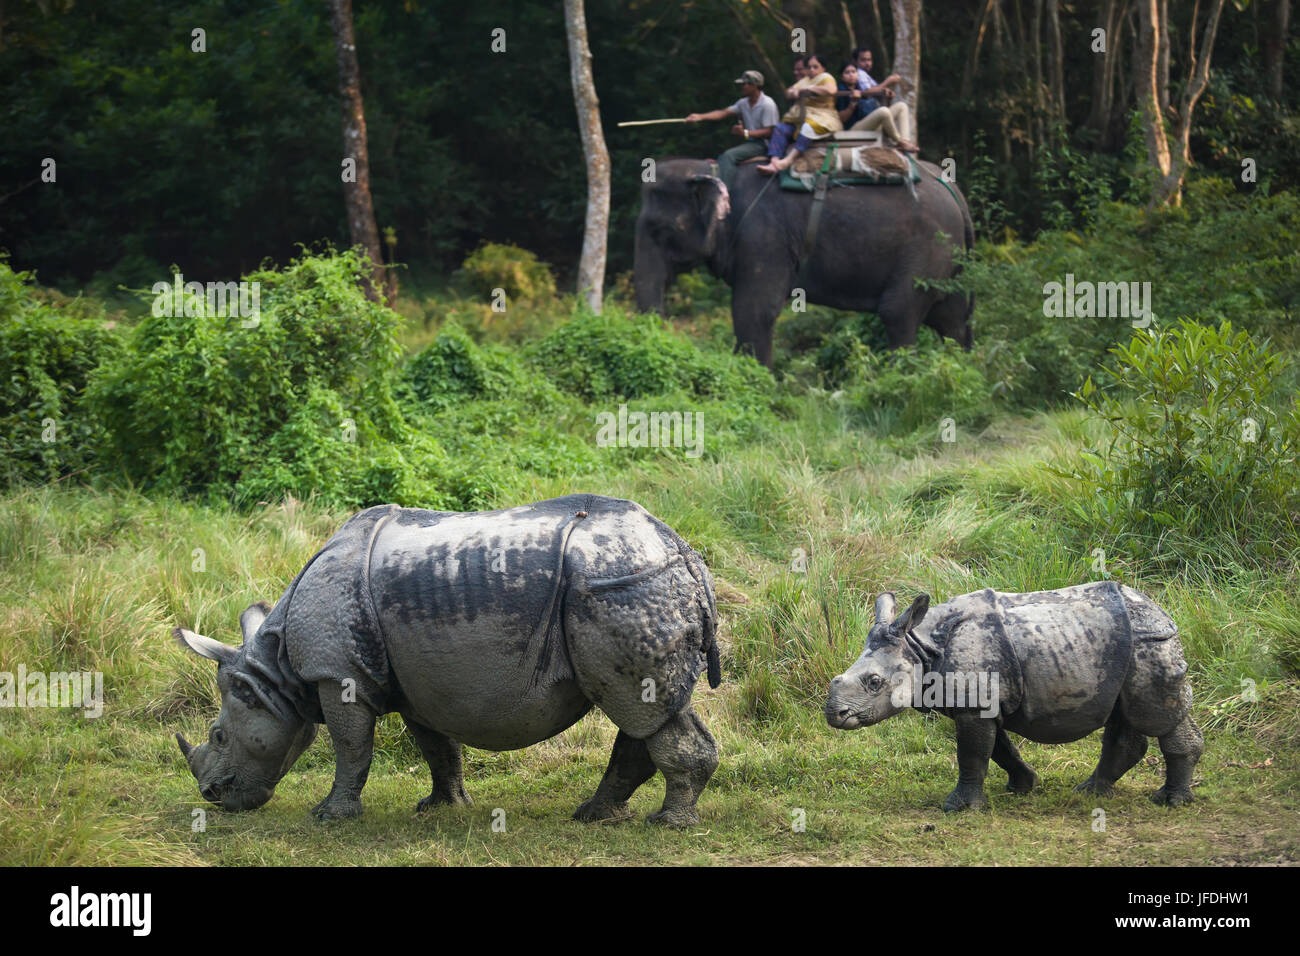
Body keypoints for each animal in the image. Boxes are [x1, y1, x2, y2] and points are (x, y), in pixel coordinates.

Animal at [173, 494, 722, 826]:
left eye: (218, 736)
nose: (213, 796)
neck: (276, 670)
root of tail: (680, 547)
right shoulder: (415, 680)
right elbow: (436, 747)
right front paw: (440, 807)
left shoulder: (339, 674)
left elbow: (351, 746)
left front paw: (329, 816)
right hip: (632, 586)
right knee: (645, 709)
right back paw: (594, 815)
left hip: (621, 587)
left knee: (640, 705)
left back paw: (665, 824)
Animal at [825, 583, 1203, 812]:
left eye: (874, 682)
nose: (834, 714)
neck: (920, 646)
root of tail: (1160, 609)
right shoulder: (981, 702)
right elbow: (998, 749)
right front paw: (1023, 786)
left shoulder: (974, 703)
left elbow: (972, 755)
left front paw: (958, 808)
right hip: (1129, 646)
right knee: (1124, 715)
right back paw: (1090, 792)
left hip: (1151, 642)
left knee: (1158, 717)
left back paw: (1171, 801)